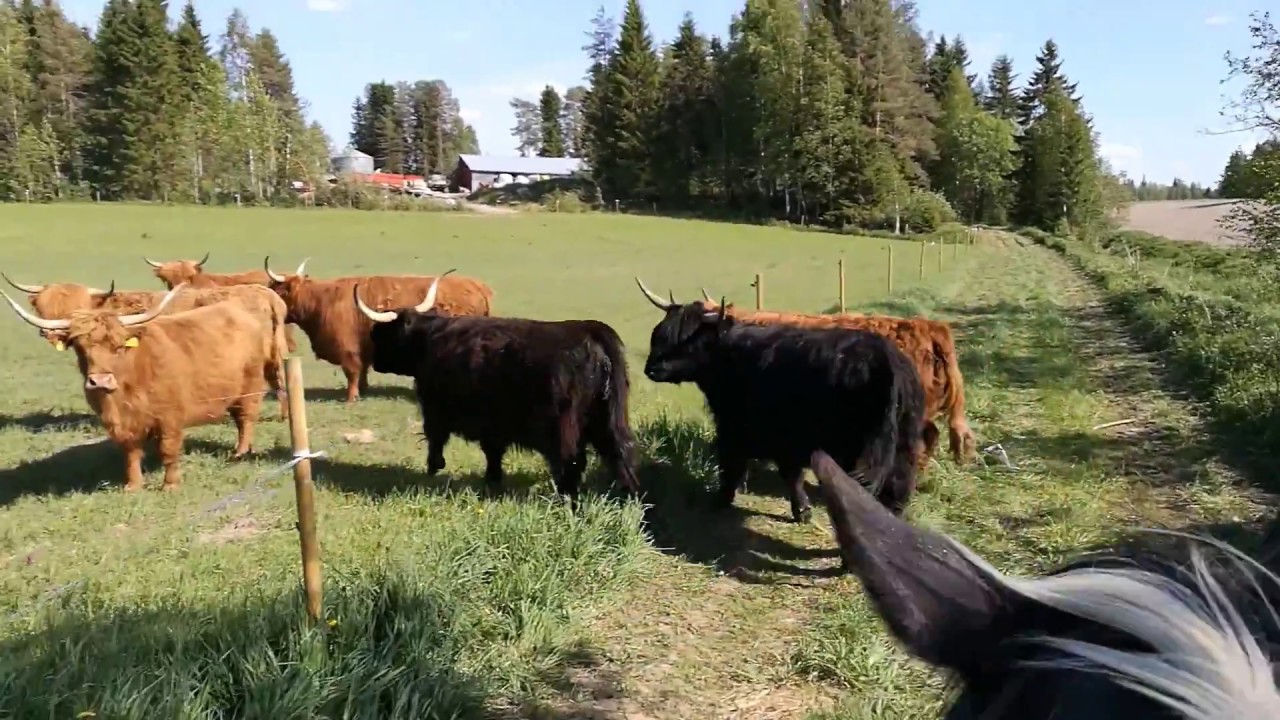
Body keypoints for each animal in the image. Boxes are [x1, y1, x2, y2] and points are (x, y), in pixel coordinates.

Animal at [1, 285, 280, 492]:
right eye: (80, 347)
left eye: (118, 346)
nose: (99, 382)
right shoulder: (123, 424)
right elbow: (131, 453)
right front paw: (133, 486)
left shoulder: (170, 417)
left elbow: (169, 450)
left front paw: (170, 485)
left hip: (251, 386)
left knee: (246, 420)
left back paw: (239, 453)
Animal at [265, 256, 495, 402]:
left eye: (278, 291)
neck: (320, 302)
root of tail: (477, 285)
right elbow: (362, 370)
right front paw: (363, 390)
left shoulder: (347, 348)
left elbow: (352, 372)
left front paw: (351, 398)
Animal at [354, 271, 640, 505]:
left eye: (379, 333)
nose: (375, 362)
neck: (430, 339)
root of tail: (591, 331)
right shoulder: (493, 423)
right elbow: (492, 451)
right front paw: (492, 479)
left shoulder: (436, 409)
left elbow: (437, 440)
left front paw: (434, 469)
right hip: (610, 419)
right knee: (621, 453)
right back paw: (628, 499)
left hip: (564, 426)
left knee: (571, 459)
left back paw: (566, 500)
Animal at [635, 277, 926, 524]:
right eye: (658, 333)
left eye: (686, 340)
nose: (651, 369)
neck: (731, 355)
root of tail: (887, 361)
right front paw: (802, 511)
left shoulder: (742, 428)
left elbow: (740, 465)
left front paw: (722, 500)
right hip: (903, 448)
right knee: (897, 491)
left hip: (857, 452)